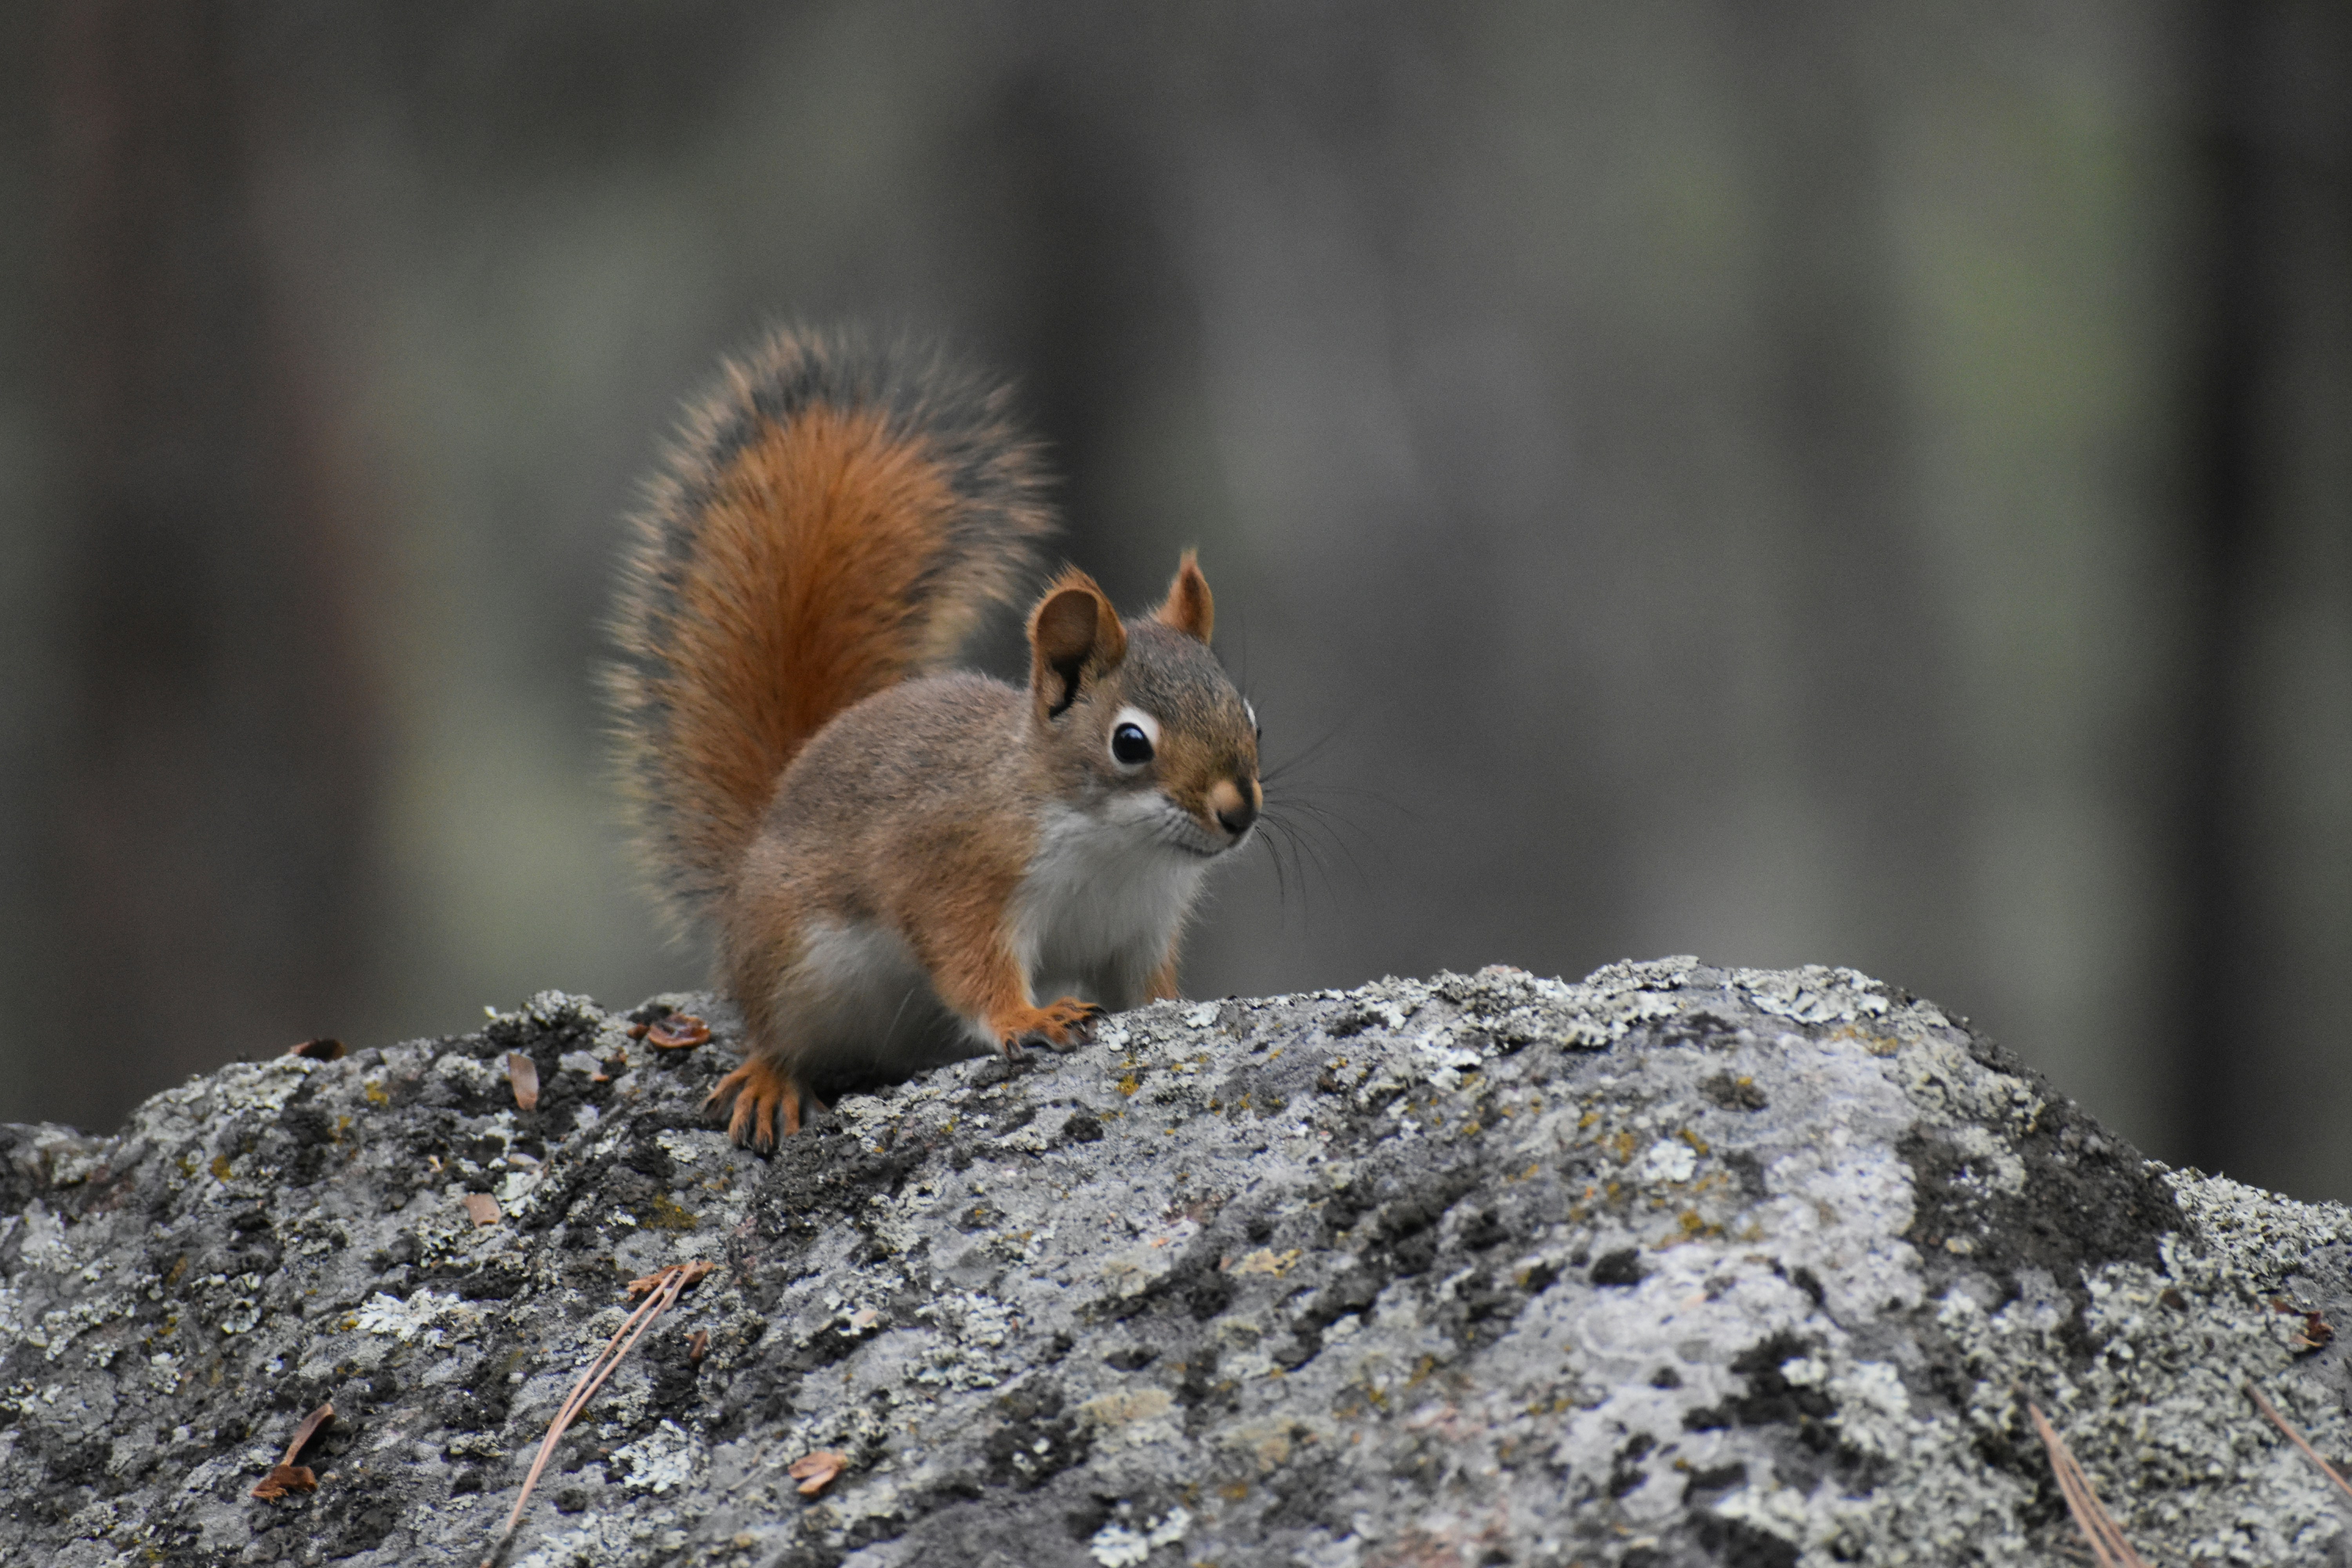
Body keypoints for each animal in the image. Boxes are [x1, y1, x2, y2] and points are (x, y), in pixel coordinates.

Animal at [605, 326, 1263, 1149]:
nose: (1240, 814)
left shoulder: (1140, 931)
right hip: (789, 962)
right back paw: (769, 1080)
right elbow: (970, 965)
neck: (1118, 849)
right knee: (773, 1034)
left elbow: (1146, 993)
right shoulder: (956, 873)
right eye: (1131, 744)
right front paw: (1031, 1016)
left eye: (1249, 714)